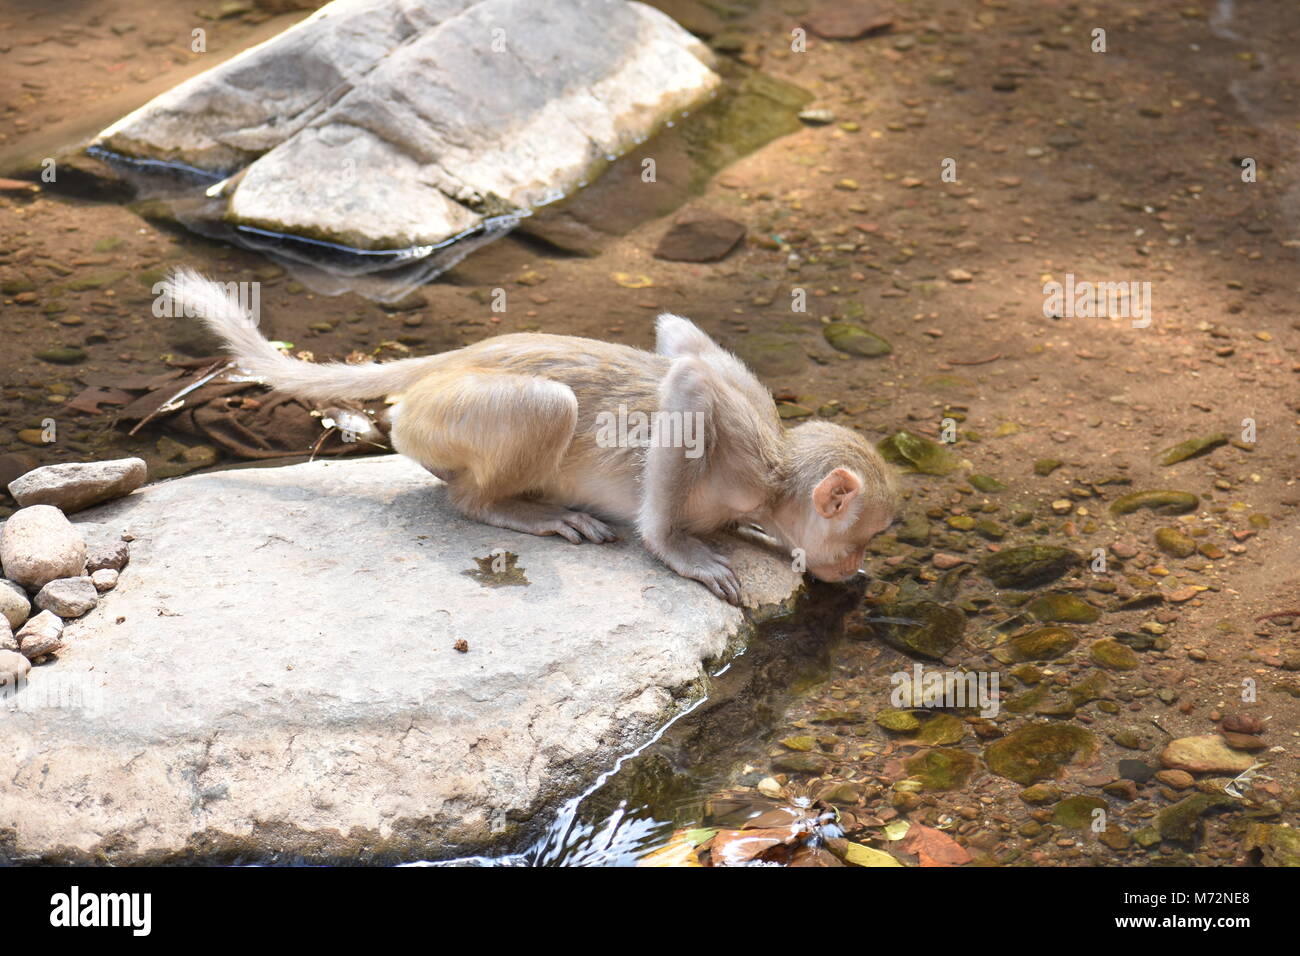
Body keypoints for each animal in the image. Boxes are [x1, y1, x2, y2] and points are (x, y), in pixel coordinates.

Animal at [165, 269, 900, 604]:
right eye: (863, 537)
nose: (855, 568)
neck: (773, 483)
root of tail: (448, 362)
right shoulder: (744, 451)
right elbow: (687, 389)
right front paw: (678, 550)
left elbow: (678, 338)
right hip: (437, 416)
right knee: (547, 408)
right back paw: (505, 507)